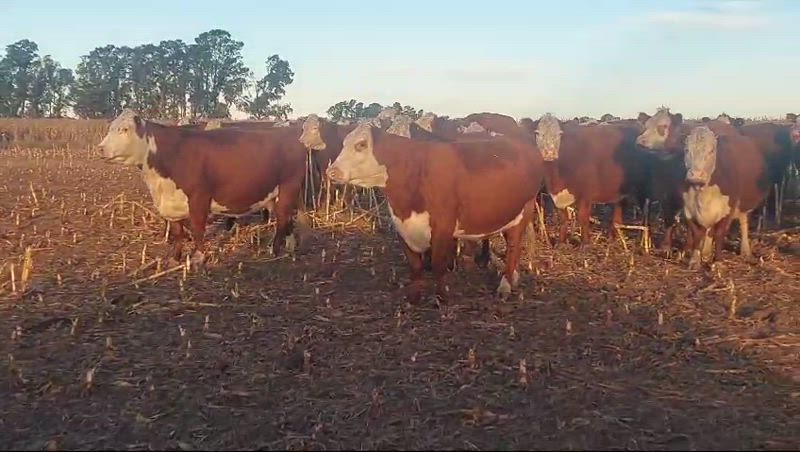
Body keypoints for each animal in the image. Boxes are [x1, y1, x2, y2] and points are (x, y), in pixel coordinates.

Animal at [98, 109, 307, 266]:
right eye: (110, 128)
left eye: (124, 129)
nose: (100, 148)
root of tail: (292, 136)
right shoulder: (173, 202)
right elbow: (178, 232)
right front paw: (175, 259)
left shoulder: (199, 196)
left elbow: (198, 228)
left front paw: (198, 257)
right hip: (273, 194)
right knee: (286, 219)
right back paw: (290, 246)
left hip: (288, 187)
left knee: (282, 219)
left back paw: (274, 250)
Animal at [325, 123, 545, 304]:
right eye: (344, 143)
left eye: (361, 144)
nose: (331, 172)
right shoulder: (401, 227)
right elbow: (415, 265)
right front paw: (414, 297)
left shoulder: (443, 226)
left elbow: (439, 264)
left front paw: (442, 297)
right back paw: (513, 277)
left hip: (525, 208)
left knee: (514, 247)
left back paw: (505, 286)